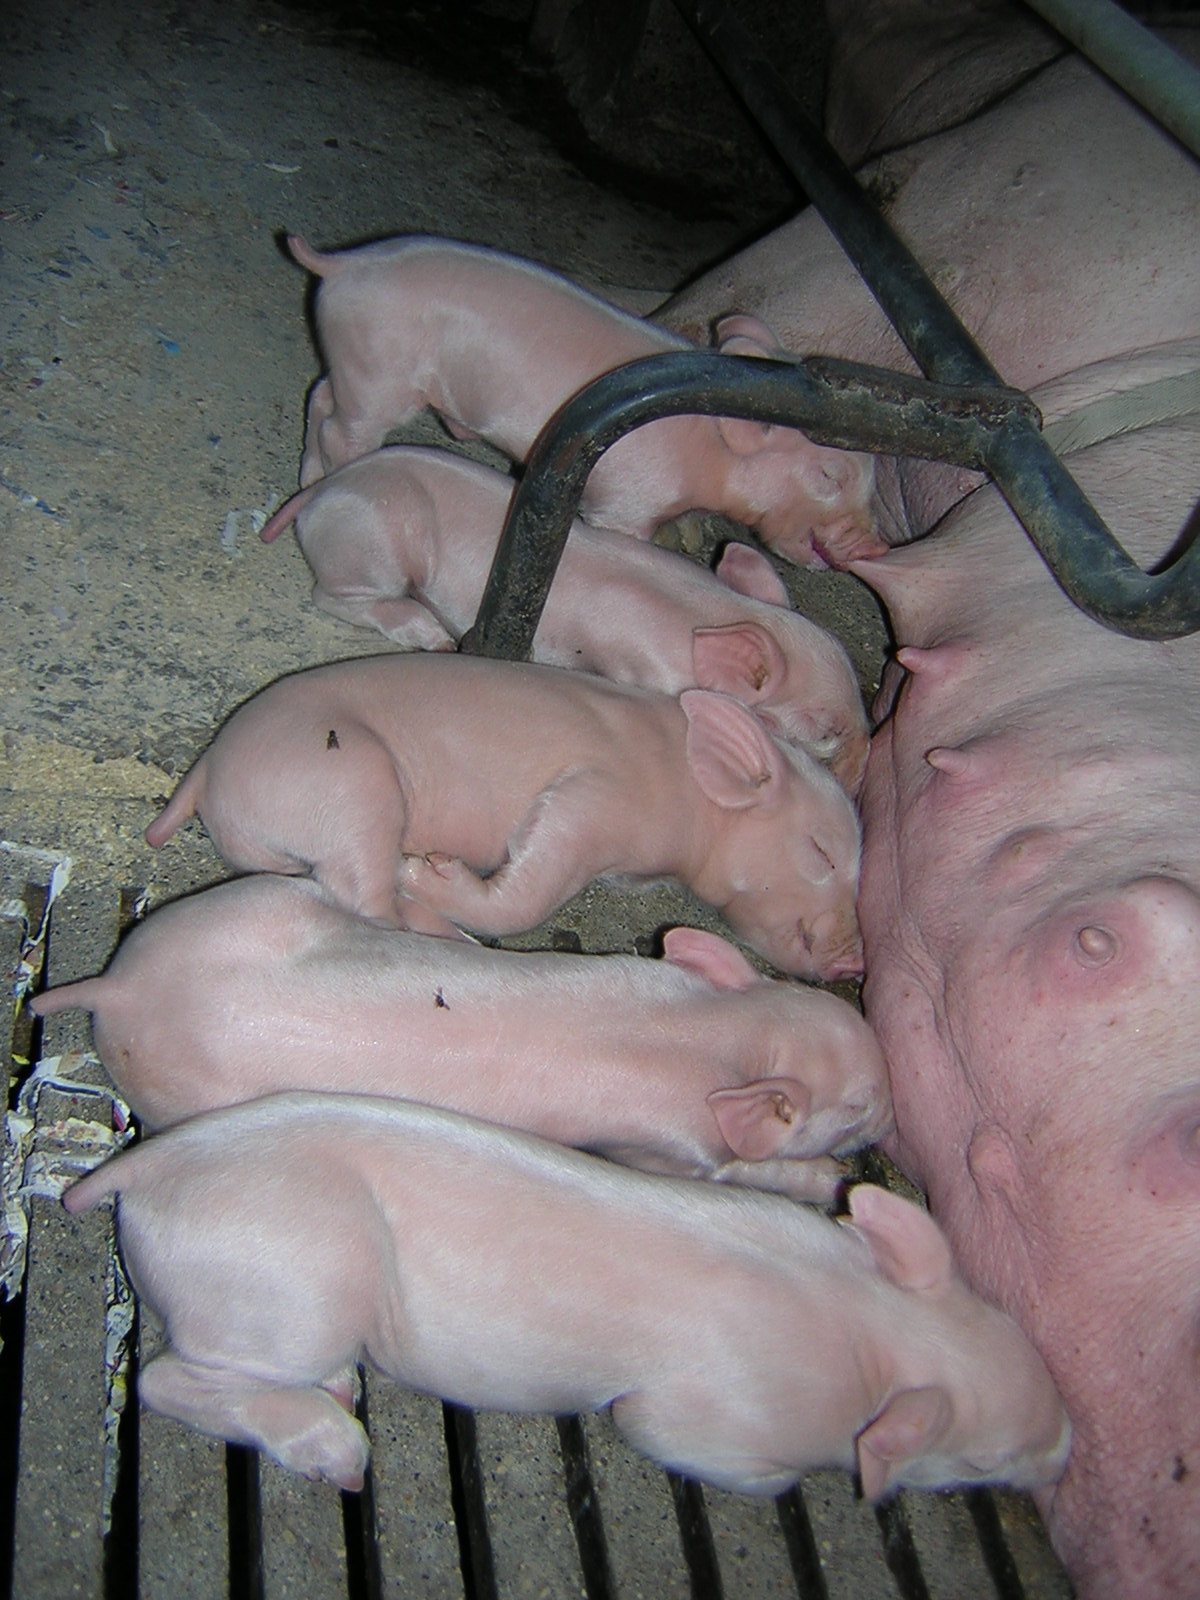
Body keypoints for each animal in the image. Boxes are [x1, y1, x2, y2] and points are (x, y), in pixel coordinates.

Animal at [31, 873, 890, 1198]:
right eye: (855, 1107)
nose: (888, 1115)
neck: (718, 1043)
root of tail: (120, 984)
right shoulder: (661, 1149)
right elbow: (736, 1172)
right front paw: (834, 1182)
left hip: (253, 901)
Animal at [62, 1090, 1071, 1500]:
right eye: (982, 1461)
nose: (1066, 1457)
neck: (867, 1327)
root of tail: (140, 1169)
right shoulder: (700, 1419)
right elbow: (709, 1451)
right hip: (295, 1288)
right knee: (165, 1382)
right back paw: (340, 1451)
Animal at [144, 653, 863, 980]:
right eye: (823, 853)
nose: (854, 965)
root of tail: (208, 766)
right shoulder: (594, 798)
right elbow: (531, 883)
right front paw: (432, 870)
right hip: (349, 779)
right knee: (363, 896)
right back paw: (437, 915)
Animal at [260, 444, 869, 790]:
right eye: (825, 731)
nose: (858, 785)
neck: (710, 615)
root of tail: (321, 489)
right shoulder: (639, 668)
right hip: (375, 551)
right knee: (329, 595)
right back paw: (432, 637)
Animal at [286, 231, 878, 562]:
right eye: (829, 475)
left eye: (870, 484)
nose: (875, 544)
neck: (707, 452)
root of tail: (344, 264)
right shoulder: (628, 496)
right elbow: (625, 533)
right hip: (381, 375)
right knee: (343, 428)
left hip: (355, 366)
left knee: (319, 397)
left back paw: (308, 477)